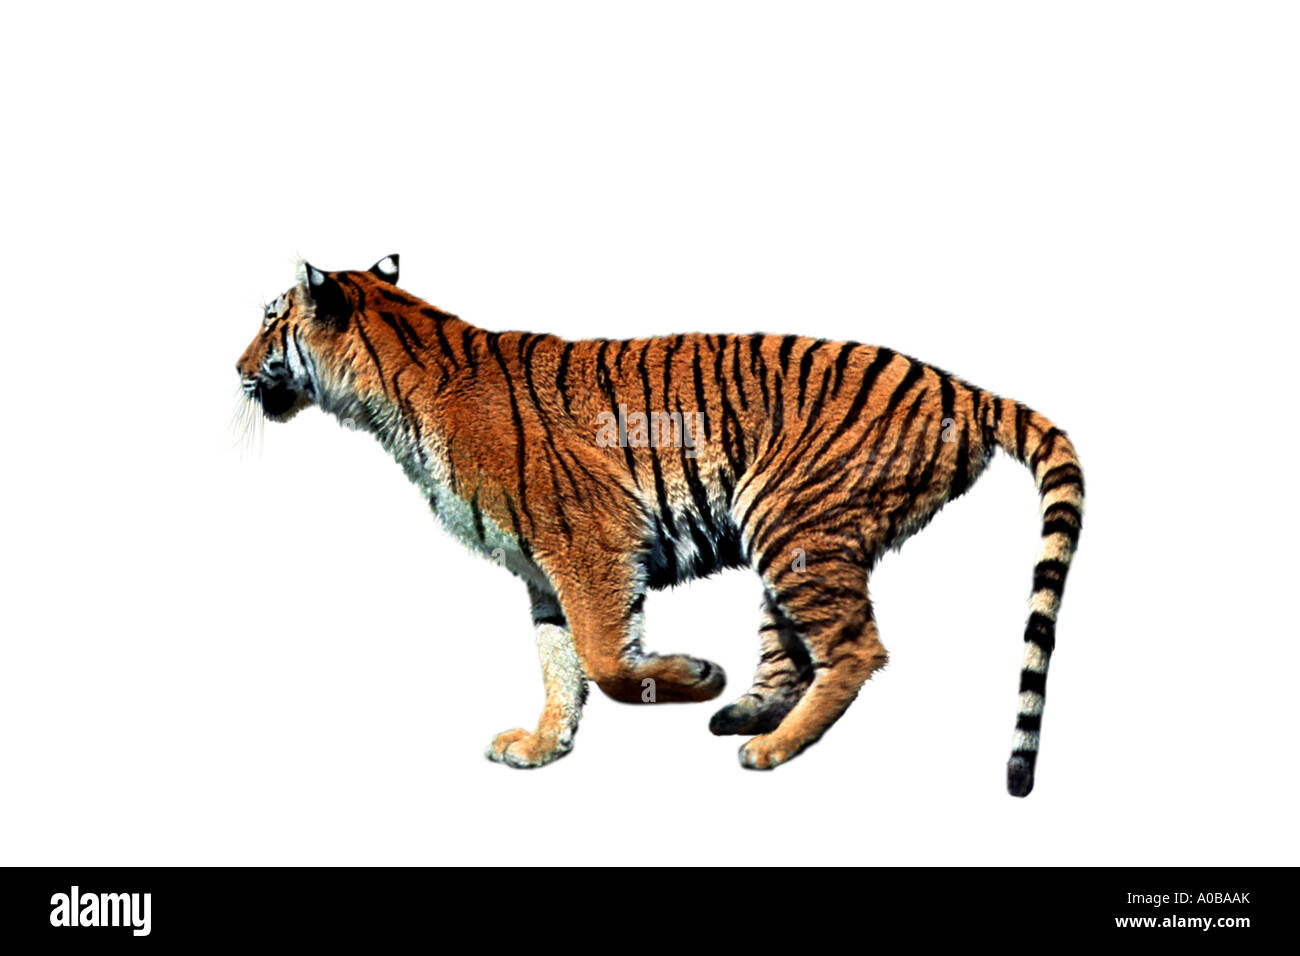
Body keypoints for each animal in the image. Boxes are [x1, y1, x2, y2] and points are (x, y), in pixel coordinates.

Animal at [236, 255, 1083, 796]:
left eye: (271, 322)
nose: (237, 367)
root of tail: (960, 387)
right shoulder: (542, 572)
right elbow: (559, 664)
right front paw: (541, 746)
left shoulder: (591, 543)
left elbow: (606, 660)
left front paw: (690, 676)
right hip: (788, 540)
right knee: (794, 653)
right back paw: (748, 711)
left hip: (794, 524)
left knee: (855, 649)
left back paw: (770, 747)